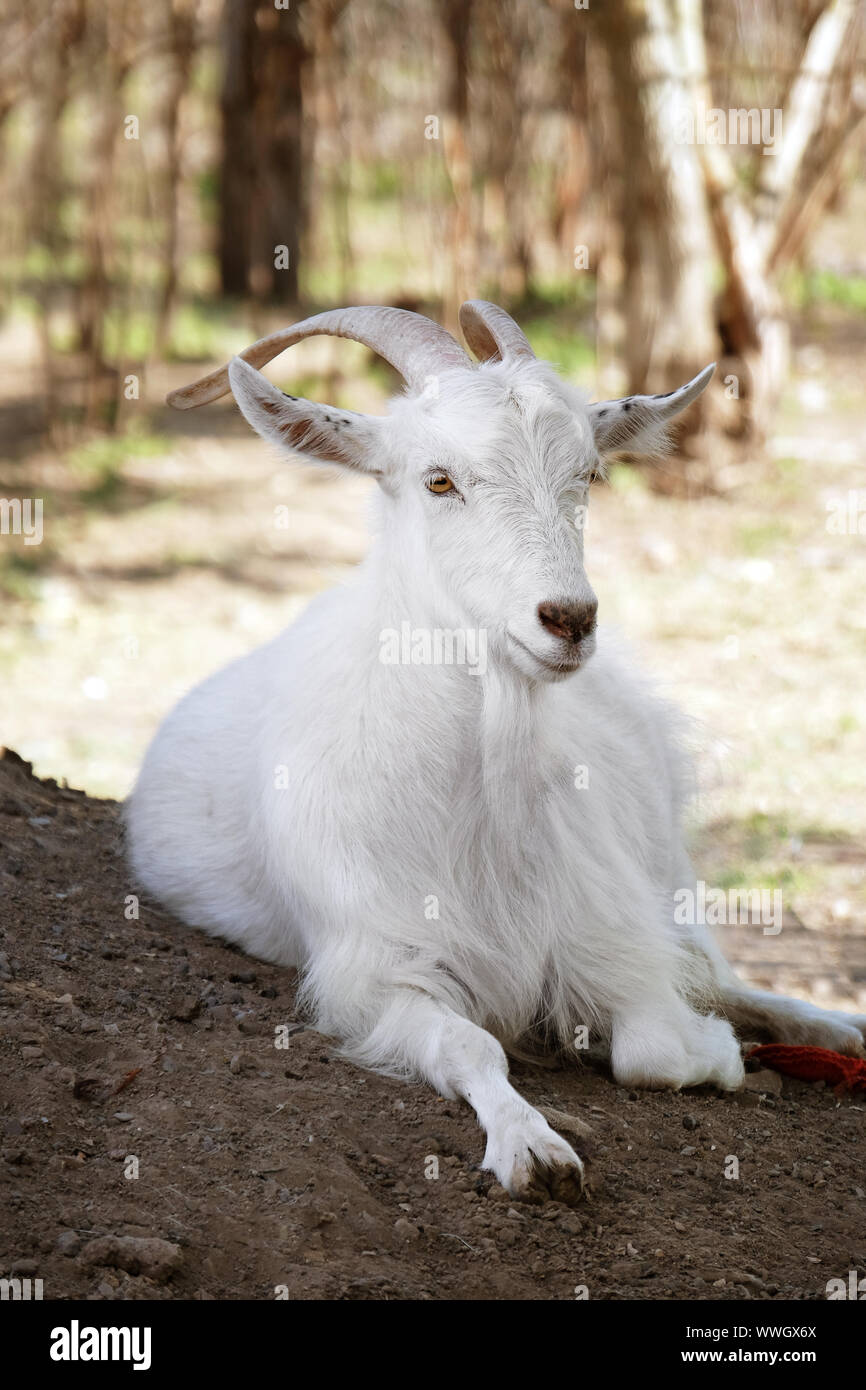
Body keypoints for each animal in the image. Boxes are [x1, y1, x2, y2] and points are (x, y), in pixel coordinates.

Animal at [126, 301, 866, 1204]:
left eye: (591, 475)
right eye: (439, 479)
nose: (569, 619)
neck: (483, 806)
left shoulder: (611, 939)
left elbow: (654, 1047)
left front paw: (718, 1053)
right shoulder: (373, 972)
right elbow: (471, 1044)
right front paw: (533, 1148)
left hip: (665, 857)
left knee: (723, 973)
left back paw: (836, 1028)